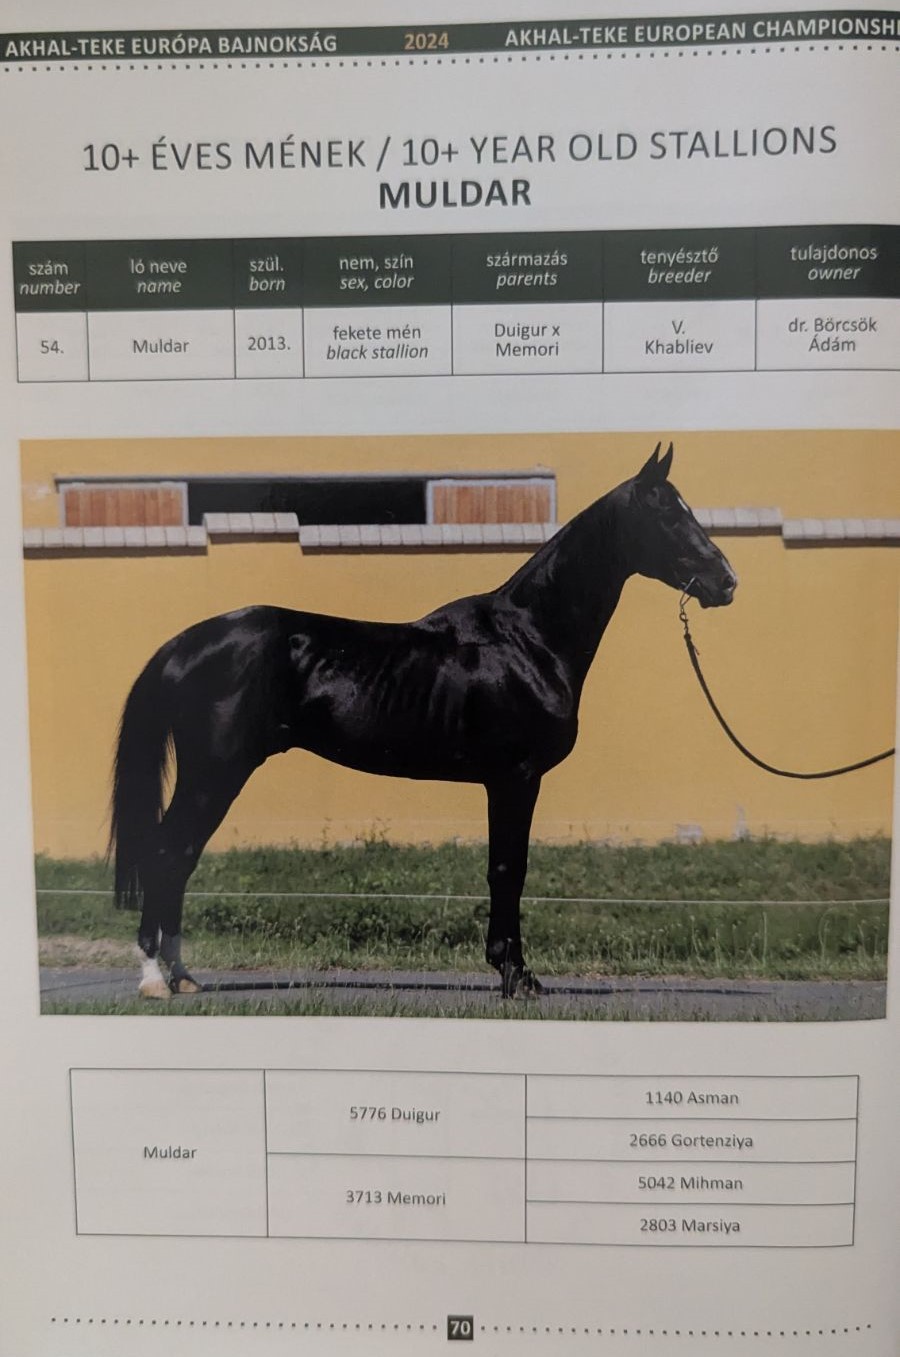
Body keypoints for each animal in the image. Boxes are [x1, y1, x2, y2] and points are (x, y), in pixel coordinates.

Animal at [110, 443, 736, 1000]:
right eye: (667, 513)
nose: (726, 580)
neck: (528, 638)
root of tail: (184, 644)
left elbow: (506, 870)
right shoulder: (515, 778)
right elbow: (508, 870)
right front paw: (517, 978)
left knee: (180, 860)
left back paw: (184, 977)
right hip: (213, 774)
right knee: (167, 856)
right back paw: (155, 980)